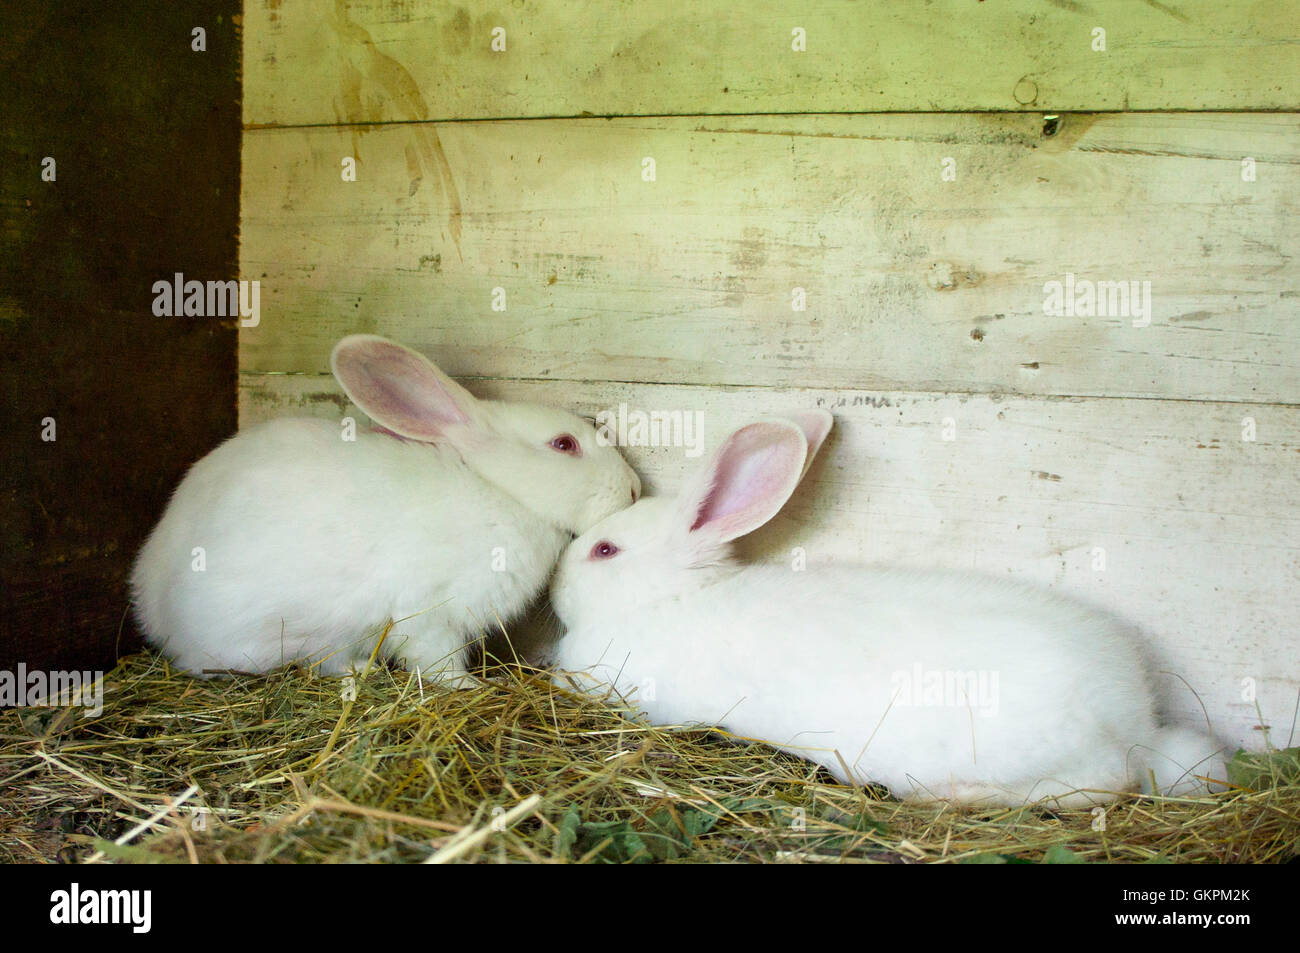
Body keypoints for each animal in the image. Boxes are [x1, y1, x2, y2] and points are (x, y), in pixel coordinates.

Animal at [131, 334, 641, 680]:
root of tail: (149, 603)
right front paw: (468, 686)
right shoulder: (426, 611)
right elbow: (435, 657)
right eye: (564, 444)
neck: (502, 492)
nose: (635, 489)